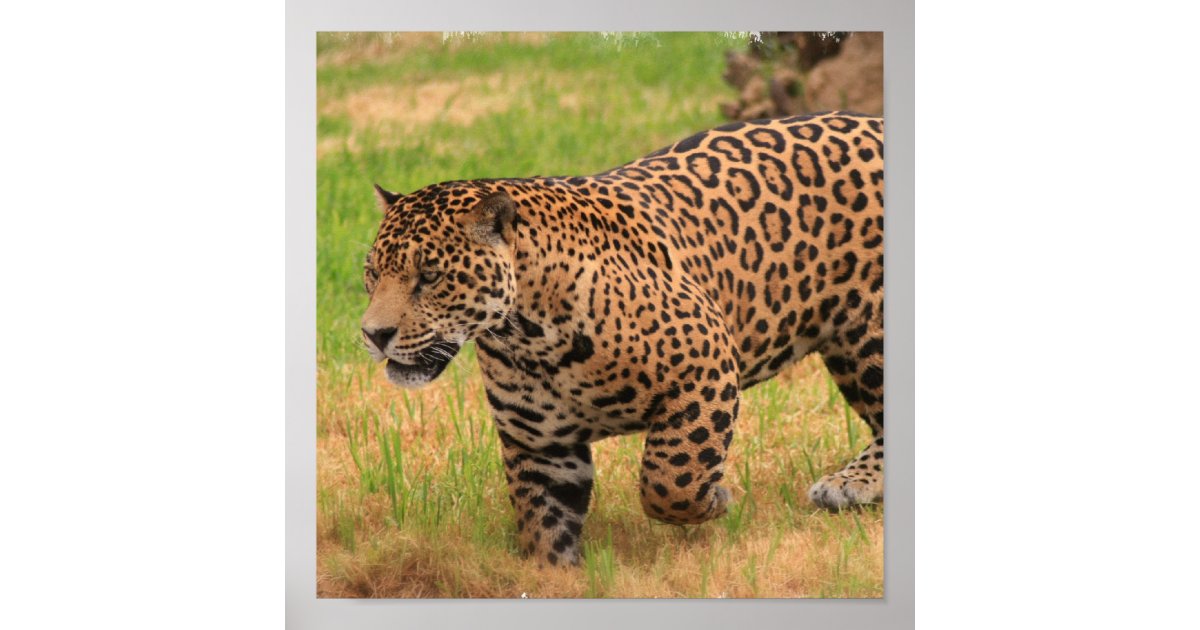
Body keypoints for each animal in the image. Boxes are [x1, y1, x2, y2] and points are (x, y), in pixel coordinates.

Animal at [359, 111, 884, 567]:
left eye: (430, 276)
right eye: (372, 274)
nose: (373, 334)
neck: (528, 335)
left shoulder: (707, 367)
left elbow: (670, 479)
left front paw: (716, 500)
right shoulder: (540, 445)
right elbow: (544, 526)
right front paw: (557, 575)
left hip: (869, 335)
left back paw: (850, 484)